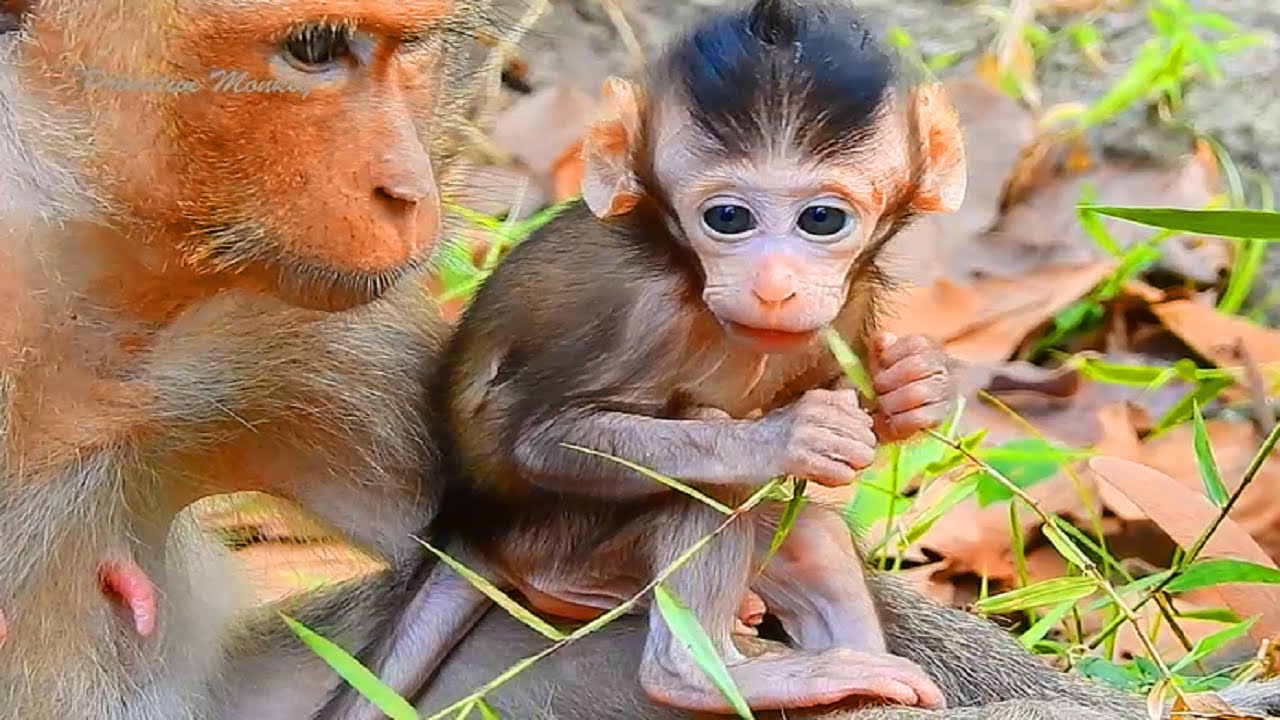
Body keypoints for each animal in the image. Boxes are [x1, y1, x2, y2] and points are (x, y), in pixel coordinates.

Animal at [316, 2, 969, 717]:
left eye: (822, 220)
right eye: (728, 218)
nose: (773, 285)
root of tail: (468, 533)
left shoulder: (849, 307)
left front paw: (912, 386)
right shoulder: (638, 311)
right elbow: (545, 442)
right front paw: (789, 436)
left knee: (809, 533)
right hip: (556, 544)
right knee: (711, 475)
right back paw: (699, 671)